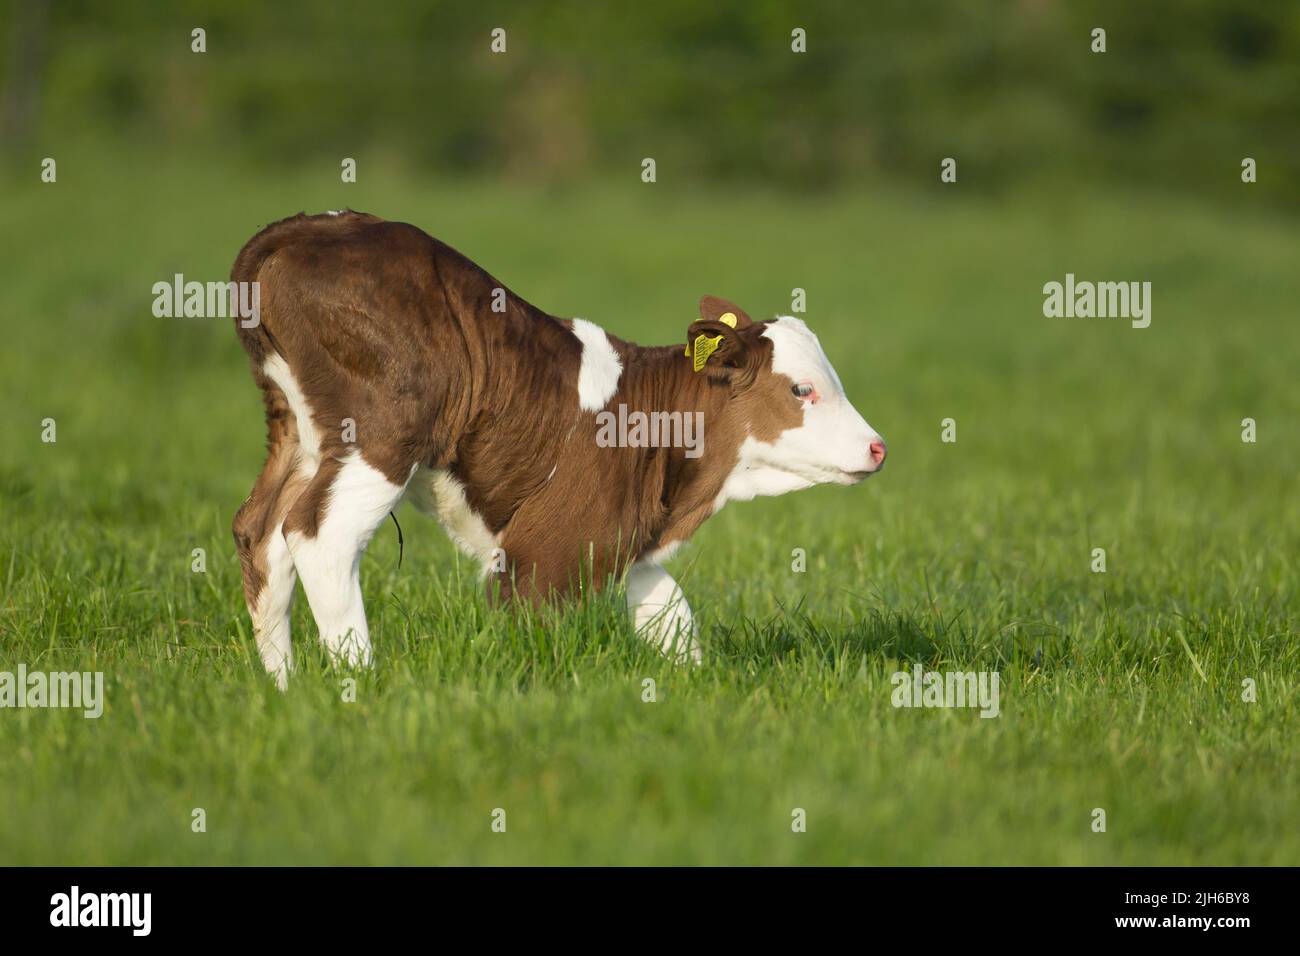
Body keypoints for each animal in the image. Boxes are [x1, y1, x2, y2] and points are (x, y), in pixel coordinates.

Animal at [230, 211, 886, 687]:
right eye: (802, 389)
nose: (878, 448)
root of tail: (306, 226)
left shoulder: (618, 532)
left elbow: (669, 613)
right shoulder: (544, 550)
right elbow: (533, 627)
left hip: (298, 430)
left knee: (259, 531)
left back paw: (283, 686)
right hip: (382, 432)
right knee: (319, 534)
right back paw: (360, 683)